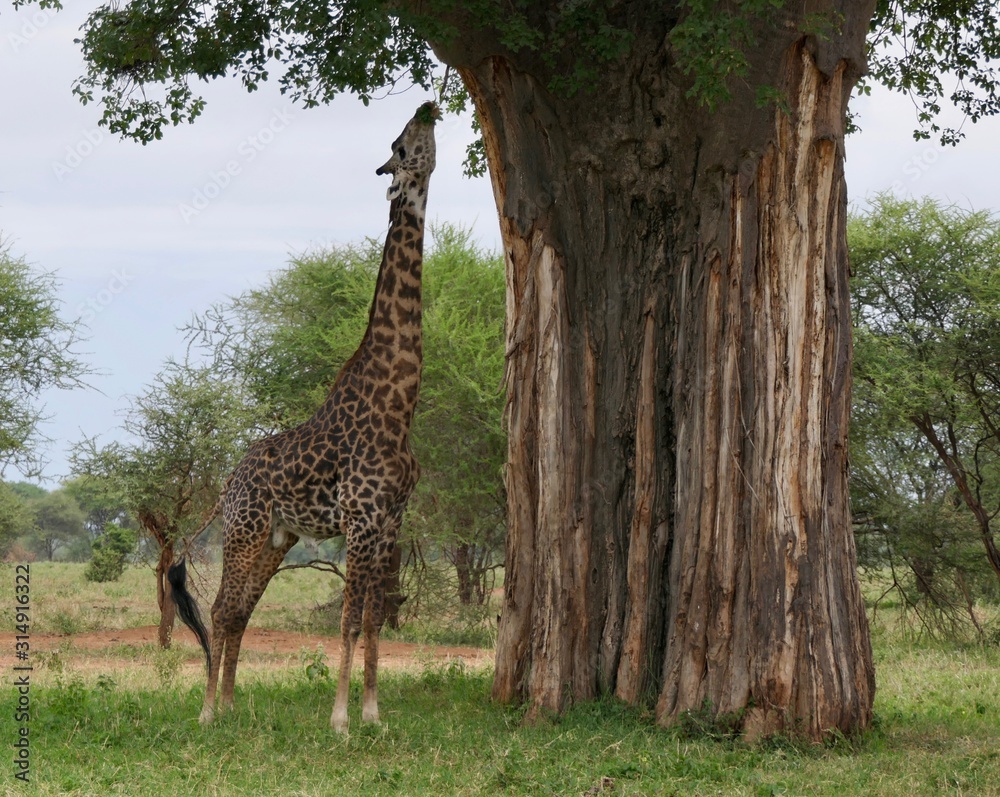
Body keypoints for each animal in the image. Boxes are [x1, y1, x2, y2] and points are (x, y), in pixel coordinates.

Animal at [168, 101, 438, 733]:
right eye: (401, 142)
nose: (428, 106)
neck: (397, 405)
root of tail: (227, 481)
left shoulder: (389, 523)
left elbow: (371, 619)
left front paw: (373, 715)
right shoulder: (361, 521)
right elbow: (347, 619)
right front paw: (339, 720)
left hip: (277, 537)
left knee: (240, 611)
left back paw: (233, 704)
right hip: (243, 529)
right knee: (221, 608)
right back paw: (208, 711)